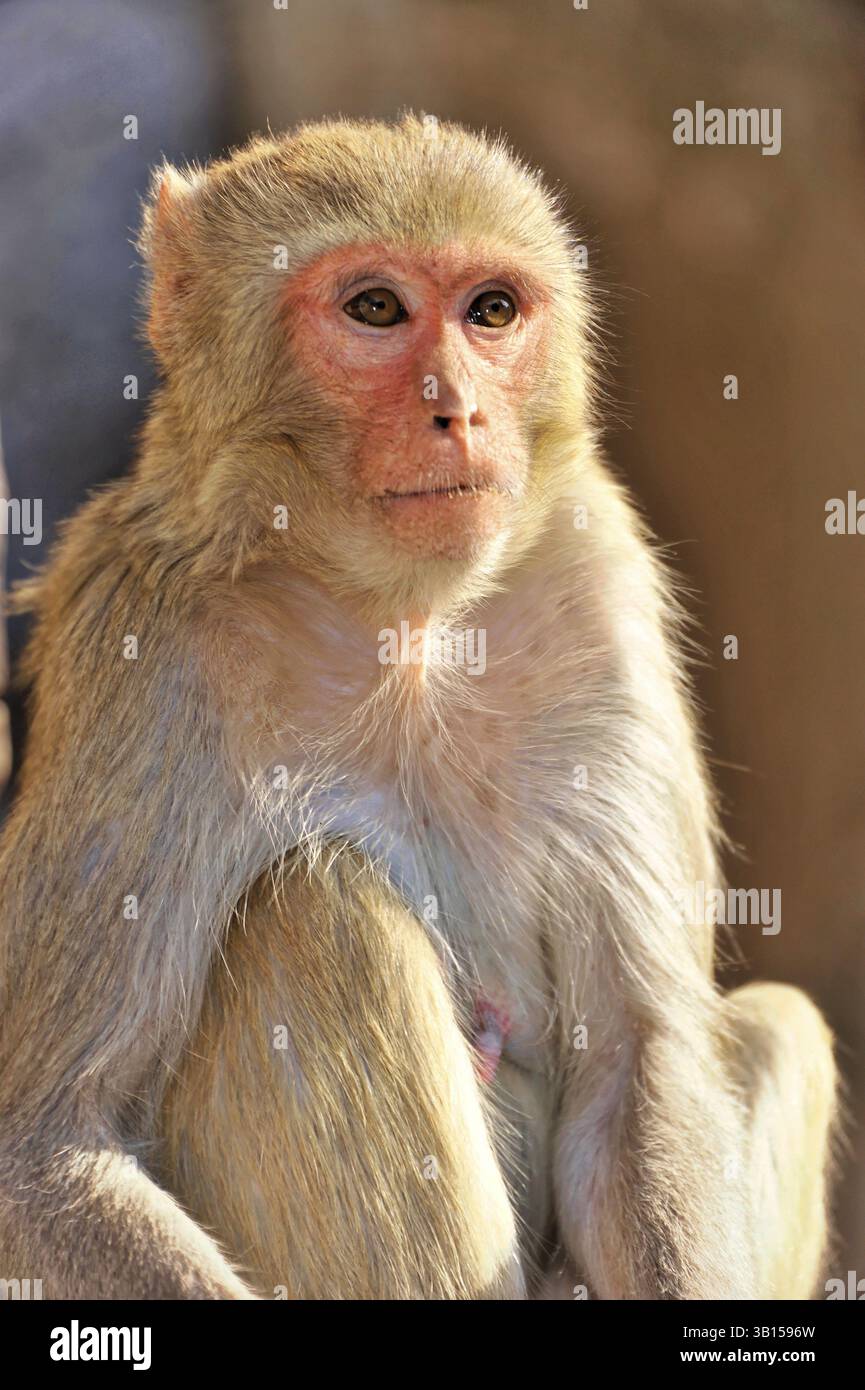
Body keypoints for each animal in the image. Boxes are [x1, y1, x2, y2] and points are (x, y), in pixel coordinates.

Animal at [0, 115, 836, 1300]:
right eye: (375, 309)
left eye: (491, 311)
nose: (460, 410)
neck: (400, 621)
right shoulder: (142, 640)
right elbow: (45, 1145)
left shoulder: (595, 575)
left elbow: (638, 1059)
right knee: (313, 906)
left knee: (774, 1024)